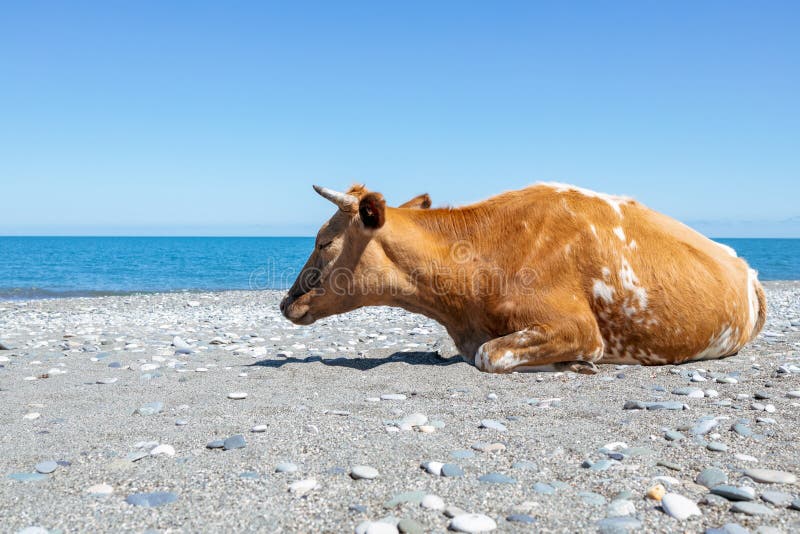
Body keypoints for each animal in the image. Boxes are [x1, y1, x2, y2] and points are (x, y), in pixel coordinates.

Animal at [280, 183, 767, 373]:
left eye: (324, 241)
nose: (286, 302)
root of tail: (744, 265)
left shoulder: (579, 327)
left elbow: (489, 355)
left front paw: (574, 364)